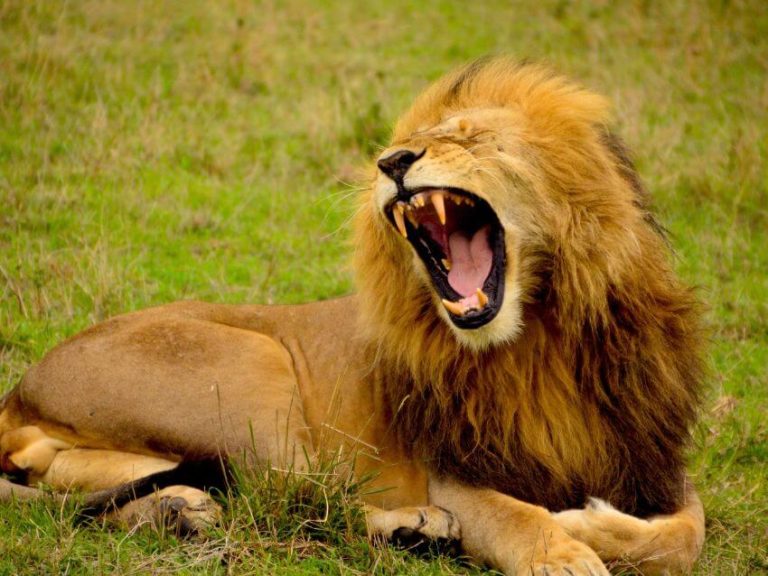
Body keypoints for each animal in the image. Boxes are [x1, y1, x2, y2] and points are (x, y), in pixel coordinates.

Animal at [0, 58, 705, 575]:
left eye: (469, 137)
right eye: (399, 146)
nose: (391, 163)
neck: (542, 338)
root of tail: (20, 390)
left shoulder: (651, 457)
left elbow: (684, 534)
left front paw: (590, 524)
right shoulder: (453, 473)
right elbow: (518, 516)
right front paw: (564, 547)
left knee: (71, 488)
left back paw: (178, 510)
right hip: (258, 371)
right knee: (290, 500)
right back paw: (413, 529)